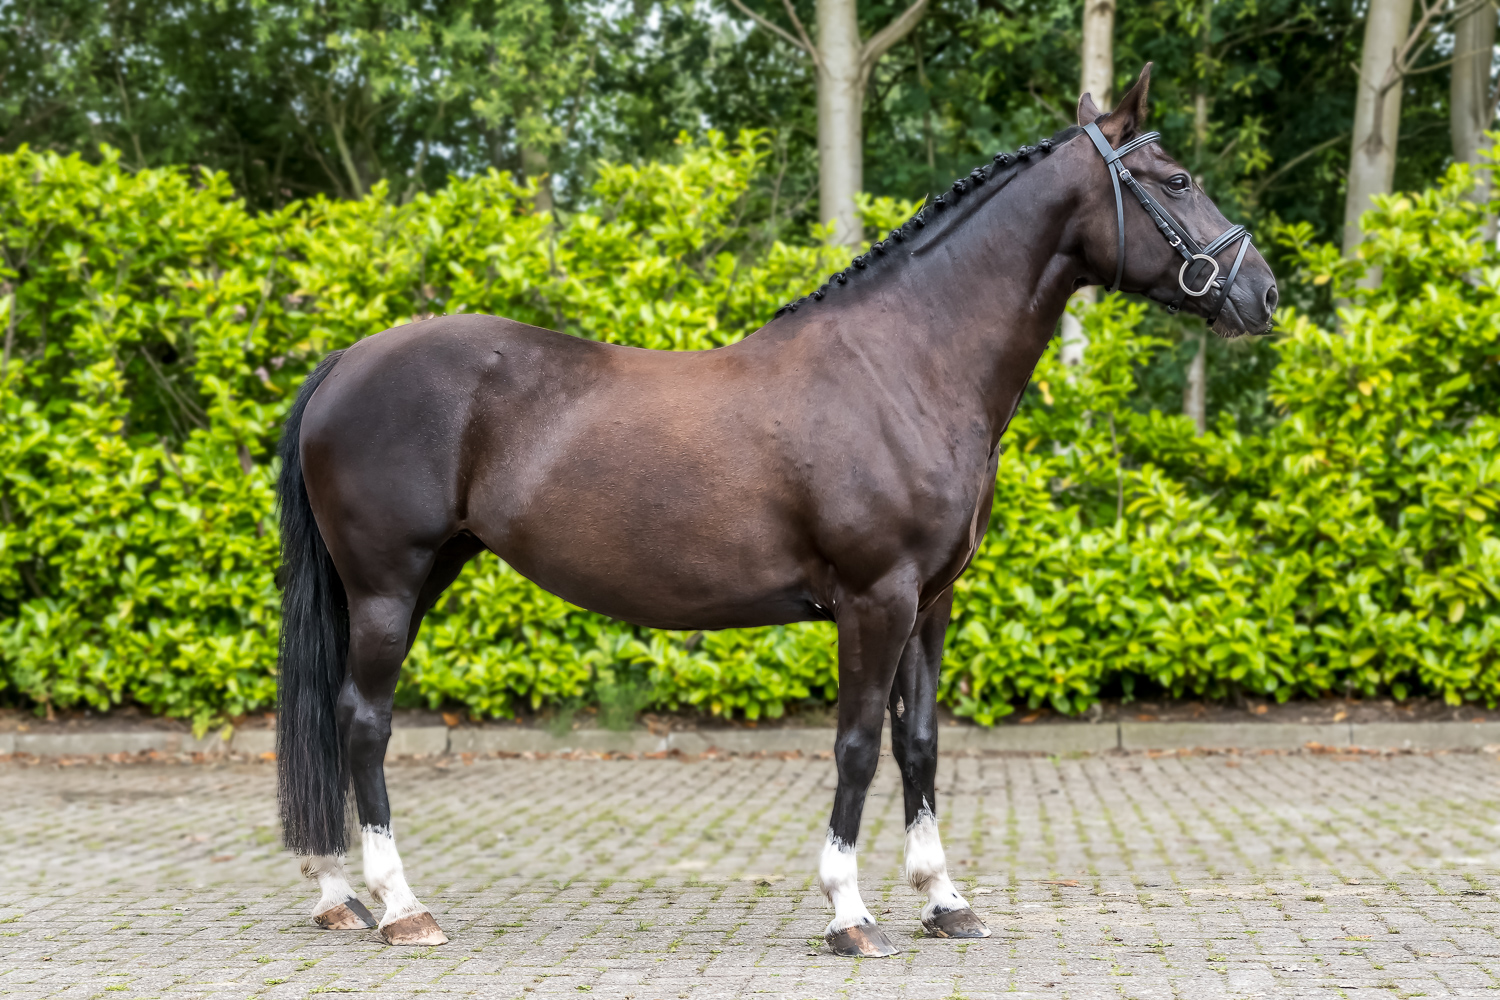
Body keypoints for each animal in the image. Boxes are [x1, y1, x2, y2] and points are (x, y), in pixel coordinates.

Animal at [274, 64, 1277, 957]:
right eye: (1177, 180)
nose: (1261, 292)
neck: (907, 364)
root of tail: (346, 361)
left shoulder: (932, 602)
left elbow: (920, 741)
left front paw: (944, 901)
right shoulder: (875, 599)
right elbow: (857, 746)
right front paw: (850, 914)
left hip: (417, 577)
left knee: (334, 714)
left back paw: (336, 896)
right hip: (388, 584)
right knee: (363, 720)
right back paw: (401, 908)